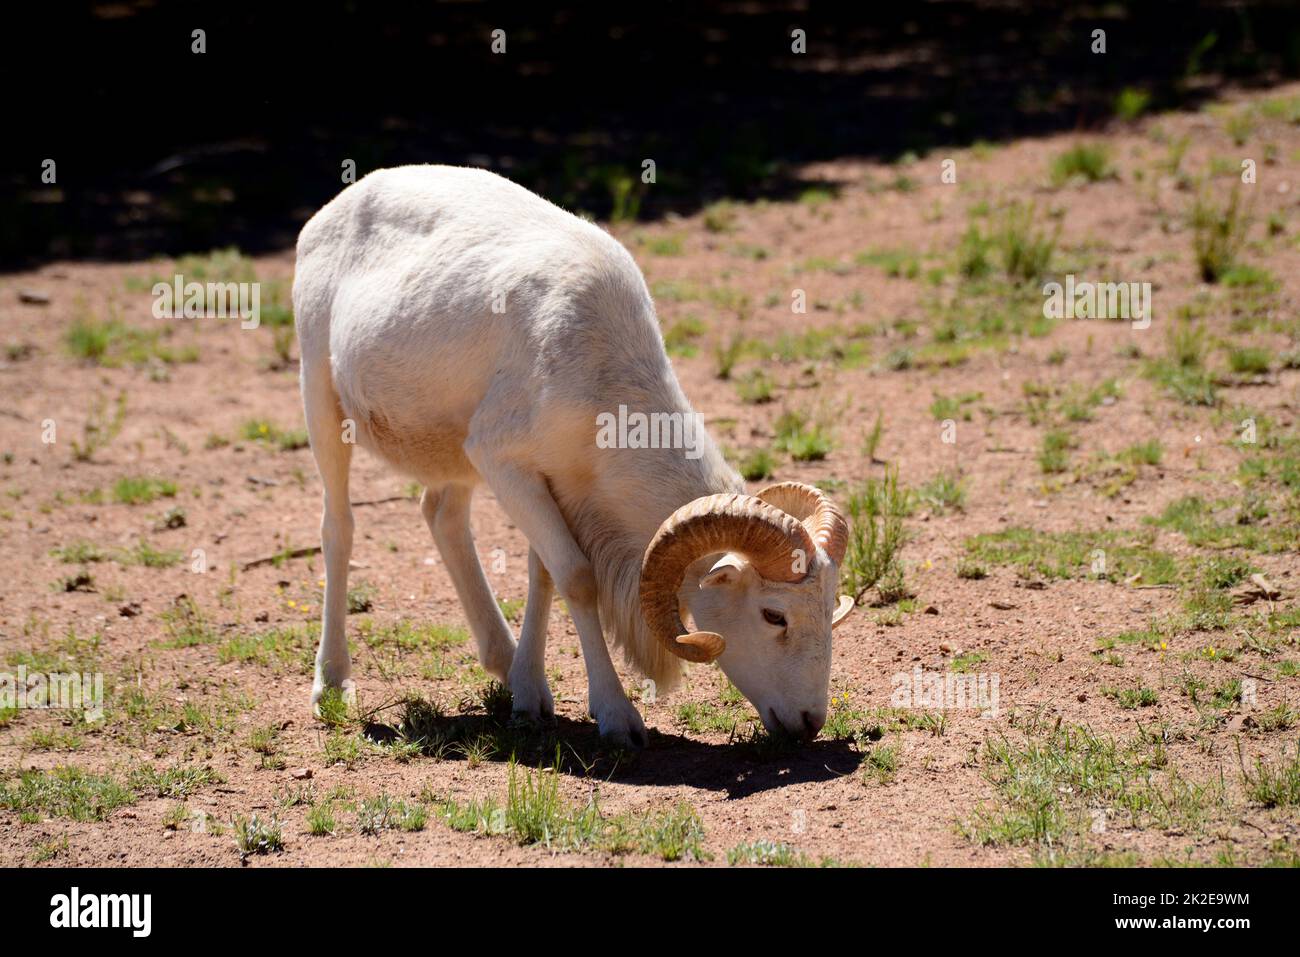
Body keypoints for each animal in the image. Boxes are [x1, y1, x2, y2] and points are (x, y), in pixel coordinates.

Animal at [293, 165, 854, 749]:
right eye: (774, 615)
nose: (809, 723)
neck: (601, 378)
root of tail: (341, 204)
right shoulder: (505, 464)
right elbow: (577, 579)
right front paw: (617, 717)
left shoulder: (553, 481)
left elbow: (542, 574)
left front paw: (528, 694)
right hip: (322, 402)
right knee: (338, 528)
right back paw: (332, 684)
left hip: (450, 451)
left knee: (442, 517)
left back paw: (501, 660)